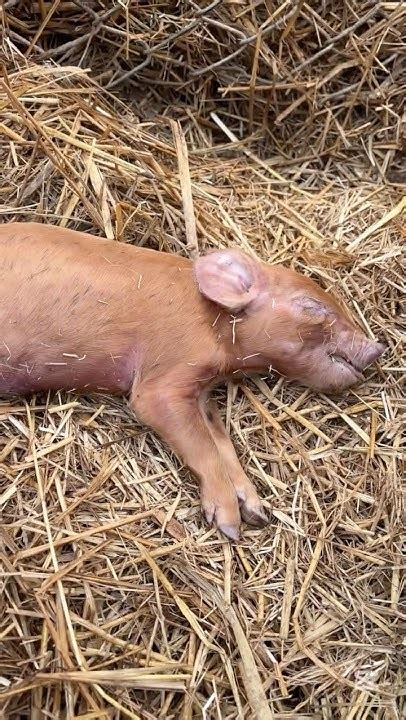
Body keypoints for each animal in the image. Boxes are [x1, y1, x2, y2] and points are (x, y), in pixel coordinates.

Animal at [0, 222, 384, 539]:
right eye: (312, 307)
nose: (377, 347)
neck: (218, 333)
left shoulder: (201, 393)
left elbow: (221, 440)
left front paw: (257, 513)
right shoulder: (164, 379)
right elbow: (200, 444)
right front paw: (230, 528)